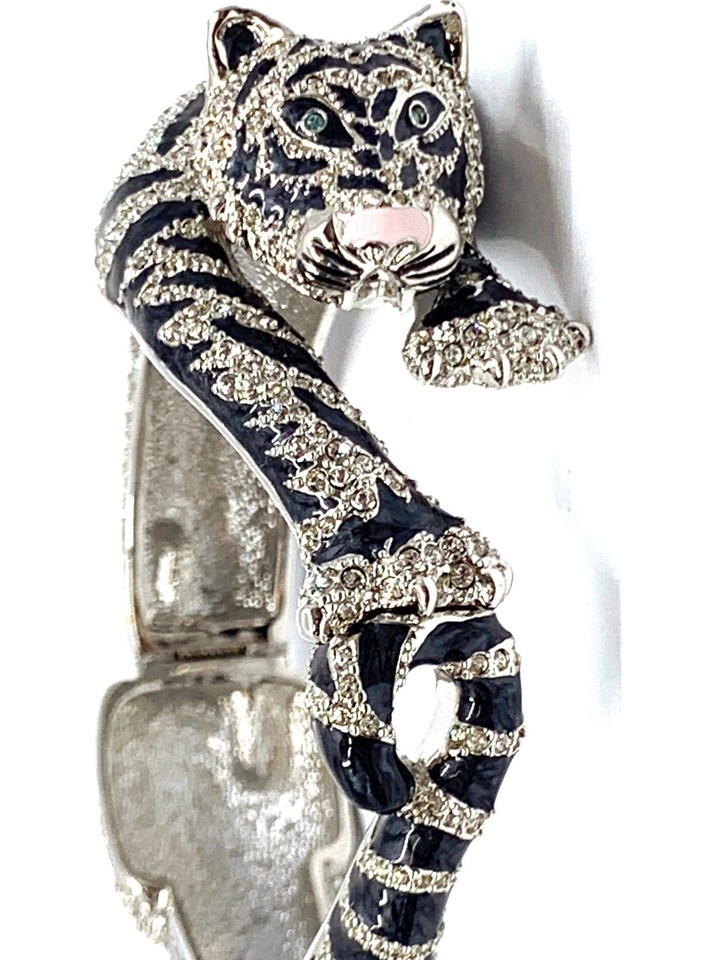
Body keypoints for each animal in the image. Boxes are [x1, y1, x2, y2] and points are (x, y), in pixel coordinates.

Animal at [96, 4, 590, 959]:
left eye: (421, 116)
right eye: (310, 122)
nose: (392, 231)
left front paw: (483, 327)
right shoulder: (149, 223)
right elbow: (267, 372)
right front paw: (396, 572)